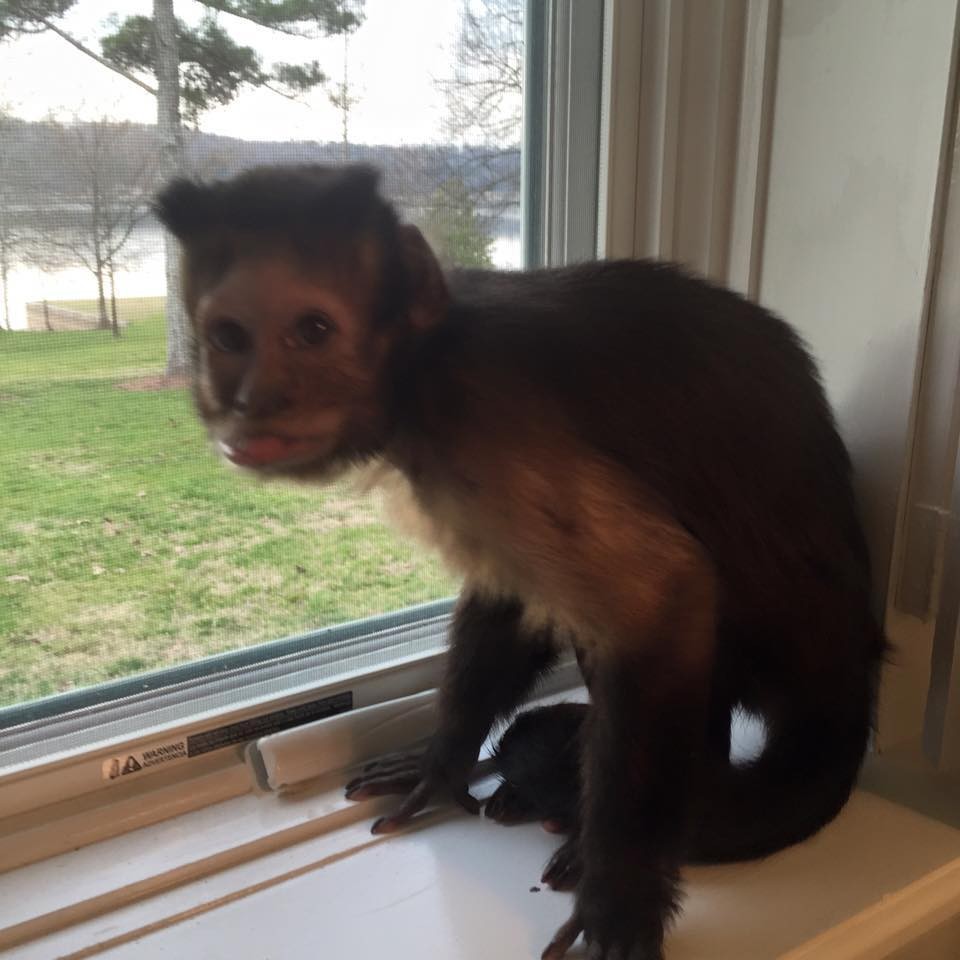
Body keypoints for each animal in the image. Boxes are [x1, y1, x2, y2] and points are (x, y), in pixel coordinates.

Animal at [153, 163, 885, 960]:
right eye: (229, 337)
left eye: (312, 330)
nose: (254, 401)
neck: (422, 367)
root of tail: (855, 666)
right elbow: (510, 595)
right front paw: (442, 761)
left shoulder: (484, 420)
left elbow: (663, 593)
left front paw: (619, 898)